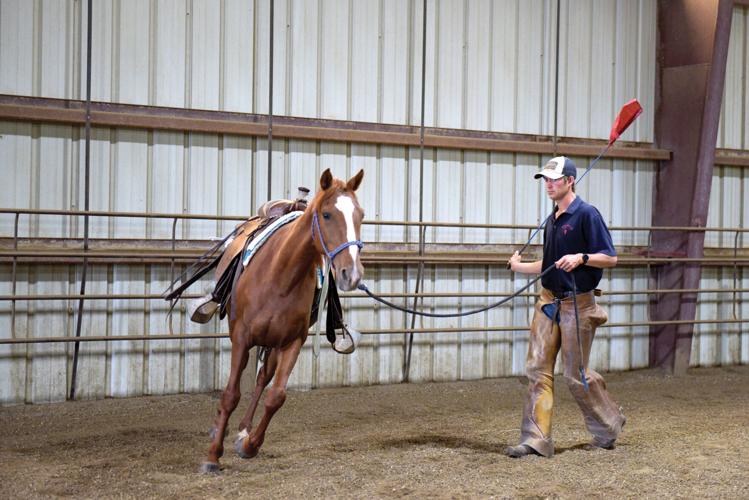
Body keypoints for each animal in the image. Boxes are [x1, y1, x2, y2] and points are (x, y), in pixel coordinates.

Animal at [201, 168, 365, 473]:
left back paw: (243, 430)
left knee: (263, 378)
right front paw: (212, 456)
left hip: (273, 342)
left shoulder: (292, 342)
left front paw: (249, 445)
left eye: (361, 214)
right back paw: (220, 429)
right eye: (327, 214)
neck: (280, 275)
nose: (352, 274)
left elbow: (276, 395)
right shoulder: (241, 337)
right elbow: (230, 394)